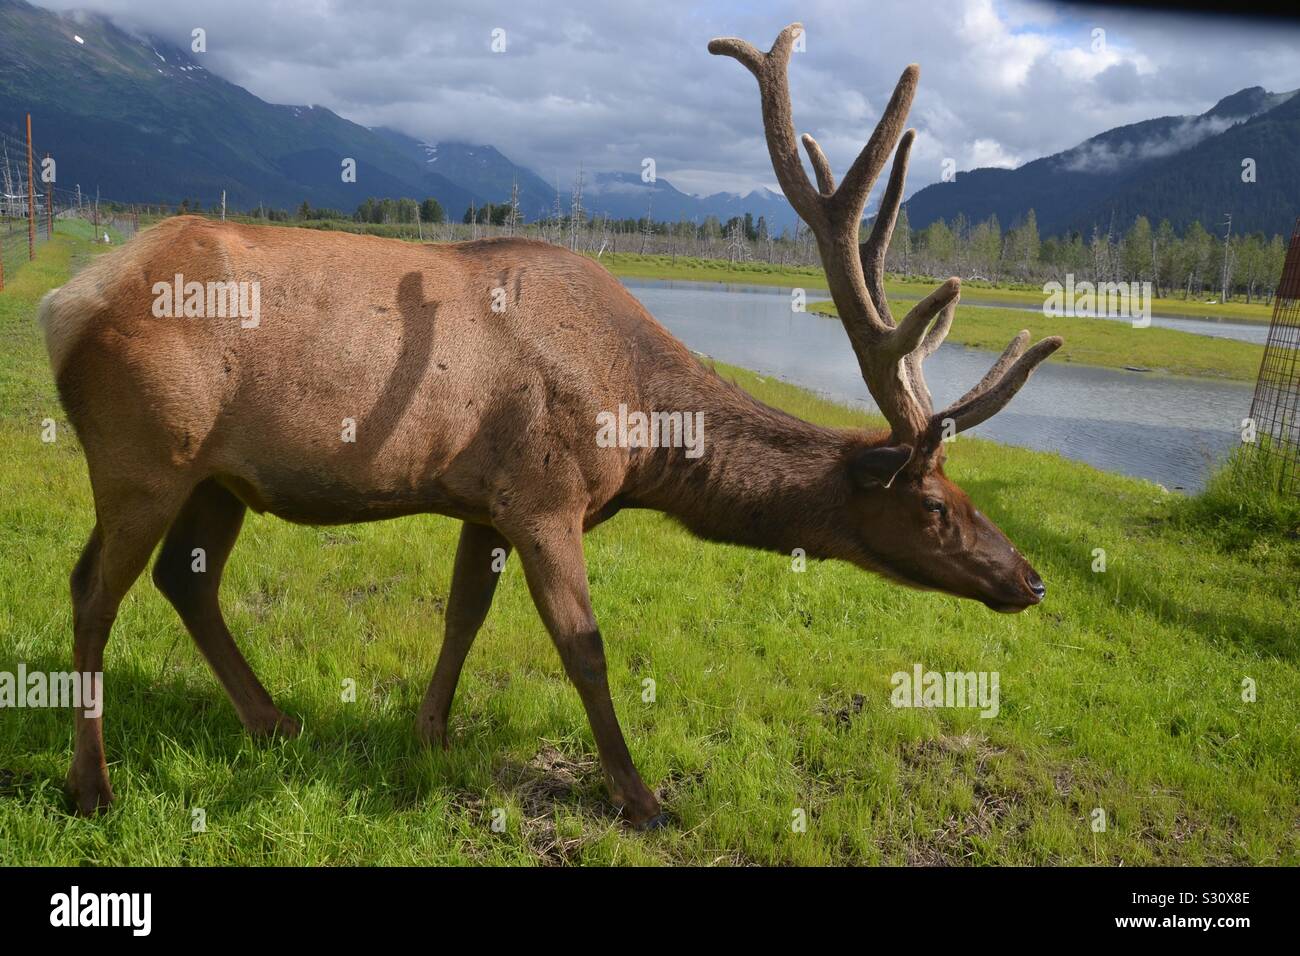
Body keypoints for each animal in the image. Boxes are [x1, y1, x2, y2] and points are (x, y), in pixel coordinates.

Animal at [38, 22, 1060, 829]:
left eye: (966, 492)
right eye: (934, 506)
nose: (1031, 579)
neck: (643, 436)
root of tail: (62, 301)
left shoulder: (482, 503)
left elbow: (463, 616)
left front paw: (431, 735)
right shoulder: (543, 495)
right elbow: (585, 645)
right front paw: (639, 795)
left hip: (220, 475)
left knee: (186, 580)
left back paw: (273, 720)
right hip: (143, 456)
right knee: (93, 588)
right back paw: (92, 785)